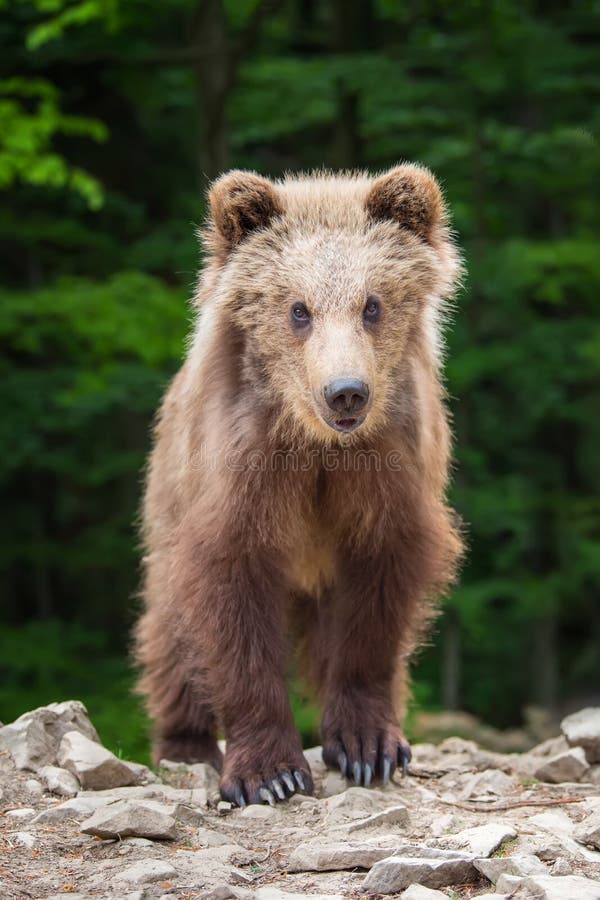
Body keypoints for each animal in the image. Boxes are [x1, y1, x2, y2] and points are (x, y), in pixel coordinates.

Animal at [135, 164, 463, 806]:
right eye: (298, 309)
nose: (346, 392)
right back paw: (185, 744)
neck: (316, 444)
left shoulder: (386, 467)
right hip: (167, 498)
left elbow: (378, 600)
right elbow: (229, 593)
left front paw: (367, 746)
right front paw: (269, 773)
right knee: (171, 634)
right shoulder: (244, 469)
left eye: (372, 305)